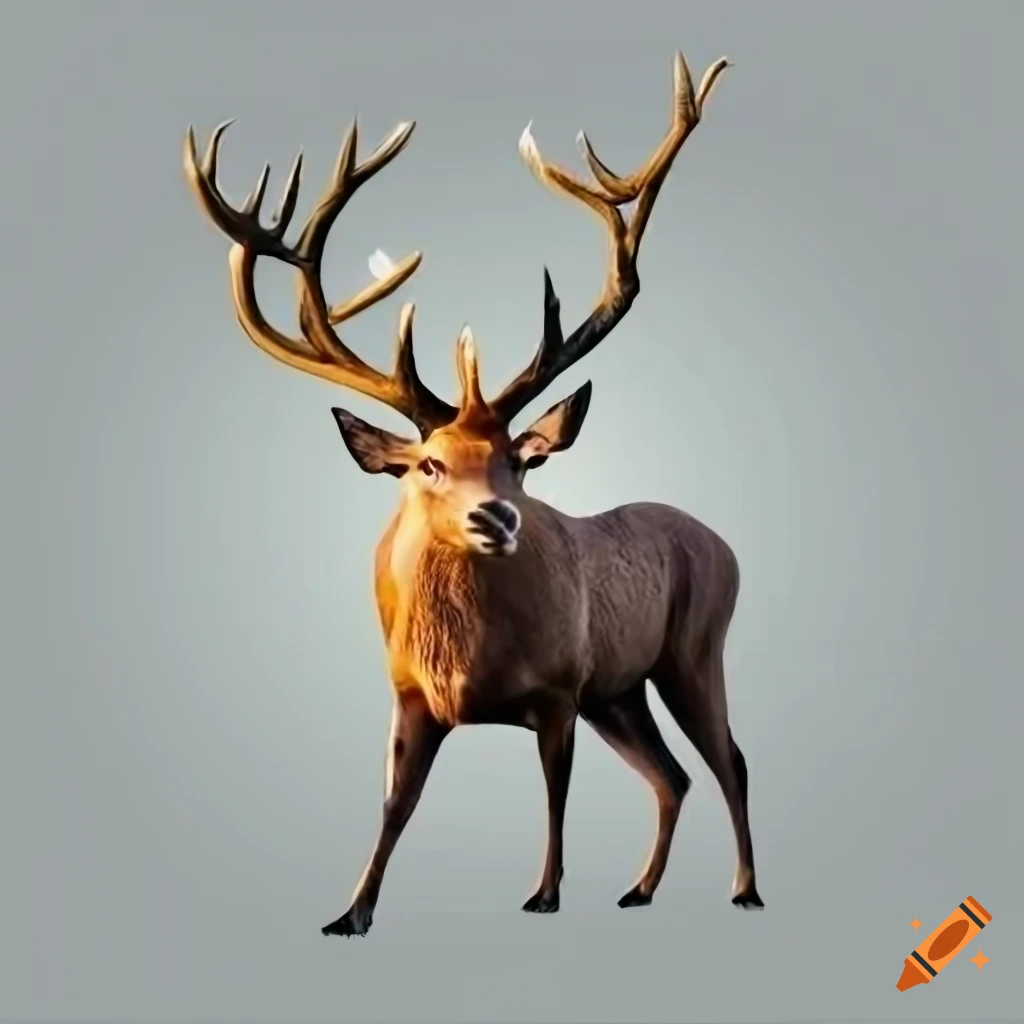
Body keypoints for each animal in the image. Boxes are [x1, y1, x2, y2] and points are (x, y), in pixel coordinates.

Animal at [184, 47, 762, 939]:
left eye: (521, 461)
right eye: (428, 463)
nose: (498, 515)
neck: (467, 663)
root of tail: (725, 543)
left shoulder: (560, 687)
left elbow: (556, 796)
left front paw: (546, 893)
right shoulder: (409, 695)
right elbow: (393, 804)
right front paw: (351, 911)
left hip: (694, 648)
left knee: (728, 758)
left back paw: (743, 887)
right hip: (621, 690)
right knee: (672, 773)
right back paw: (639, 888)